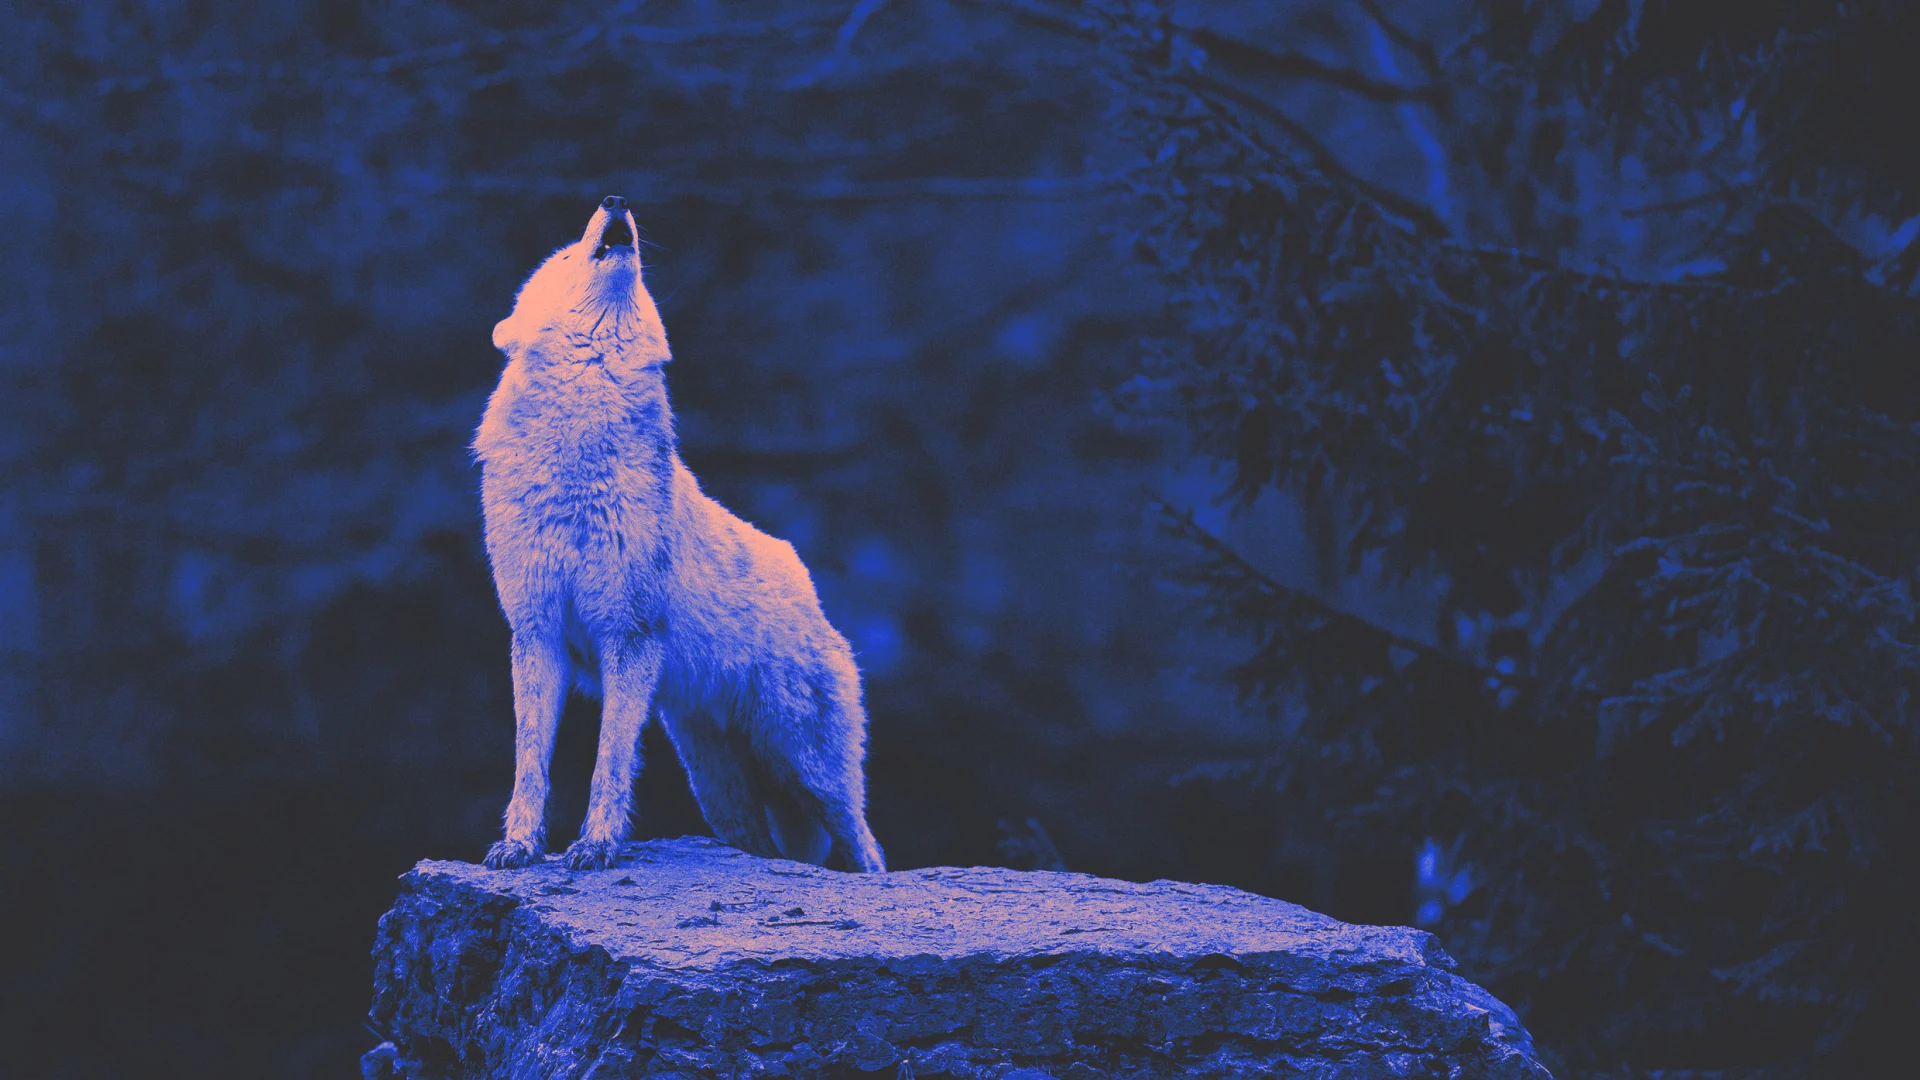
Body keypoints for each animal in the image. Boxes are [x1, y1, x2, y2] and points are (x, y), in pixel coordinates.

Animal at [472, 195, 885, 873]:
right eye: (565, 256)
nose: (615, 201)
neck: (577, 458)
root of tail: (810, 589)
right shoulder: (537, 634)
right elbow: (529, 763)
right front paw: (520, 845)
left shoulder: (628, 635)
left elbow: (609, 763)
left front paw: (597, 845)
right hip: (721, 786)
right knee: (766, 845)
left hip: (808, 768)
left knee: (866, 846)